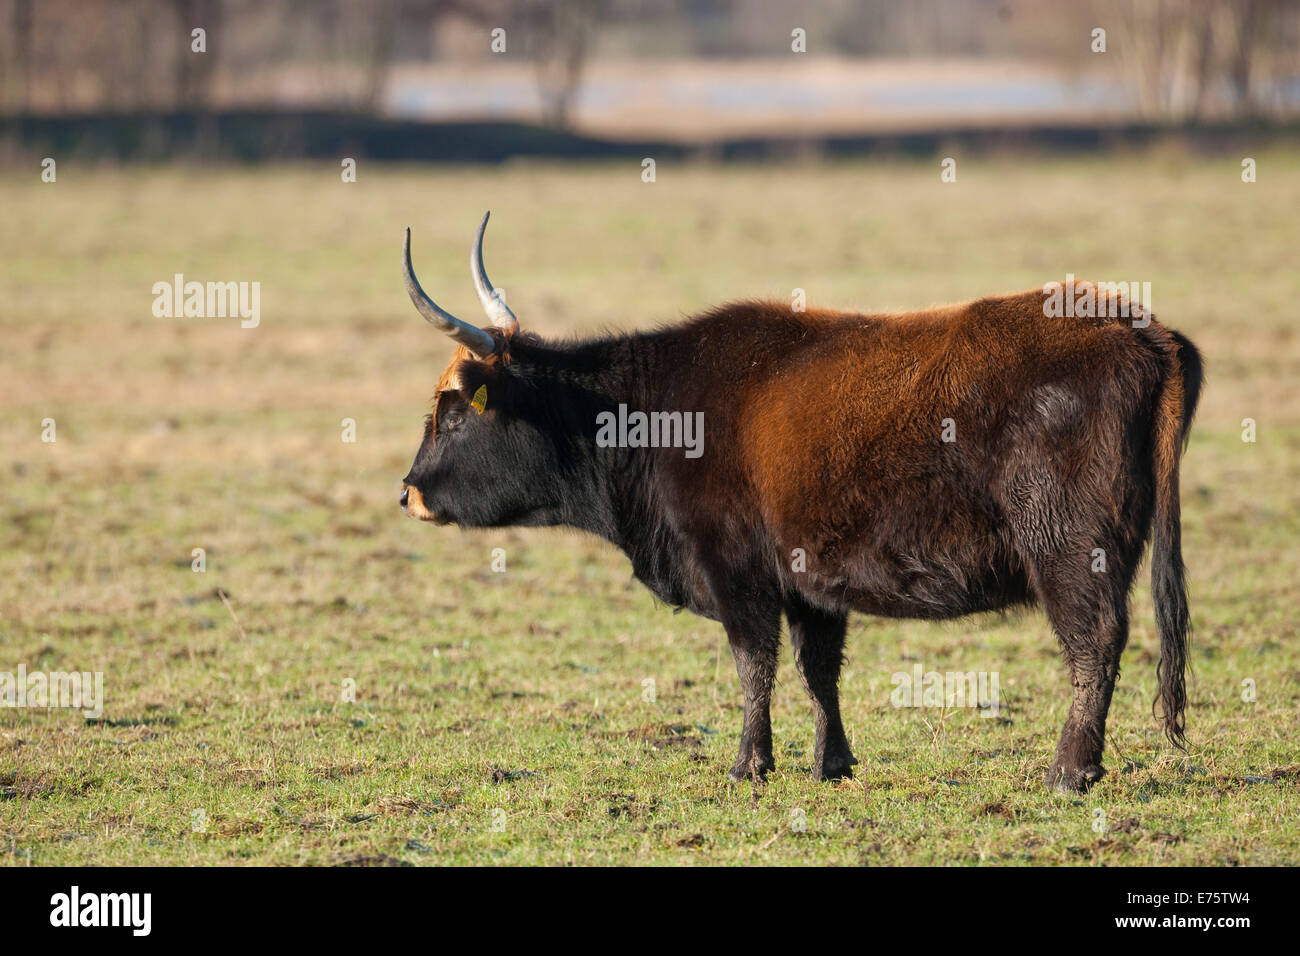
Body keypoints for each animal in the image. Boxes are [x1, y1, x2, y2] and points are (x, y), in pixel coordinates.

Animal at [395, 214, 1196, 790]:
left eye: (455, 412)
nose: (407, 492)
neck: (653, 409)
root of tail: (1139, 326)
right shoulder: (811, 582)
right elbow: (818, 670)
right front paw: (830, 762)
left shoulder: (735, 569)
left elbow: (755, 664)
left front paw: (749, 764)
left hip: (1068, 550)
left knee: (1094, 641)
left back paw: (1070, 770)